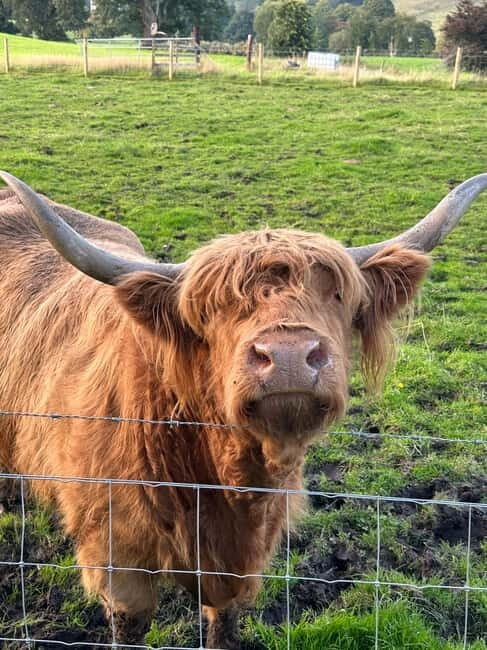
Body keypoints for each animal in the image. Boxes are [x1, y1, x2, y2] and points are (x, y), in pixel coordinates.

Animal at [0, 171, 485, 648]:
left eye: (337, 296)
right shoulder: (118, 560)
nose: (288, 356)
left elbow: (224, 626)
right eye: (214, 308)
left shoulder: (241, 561)